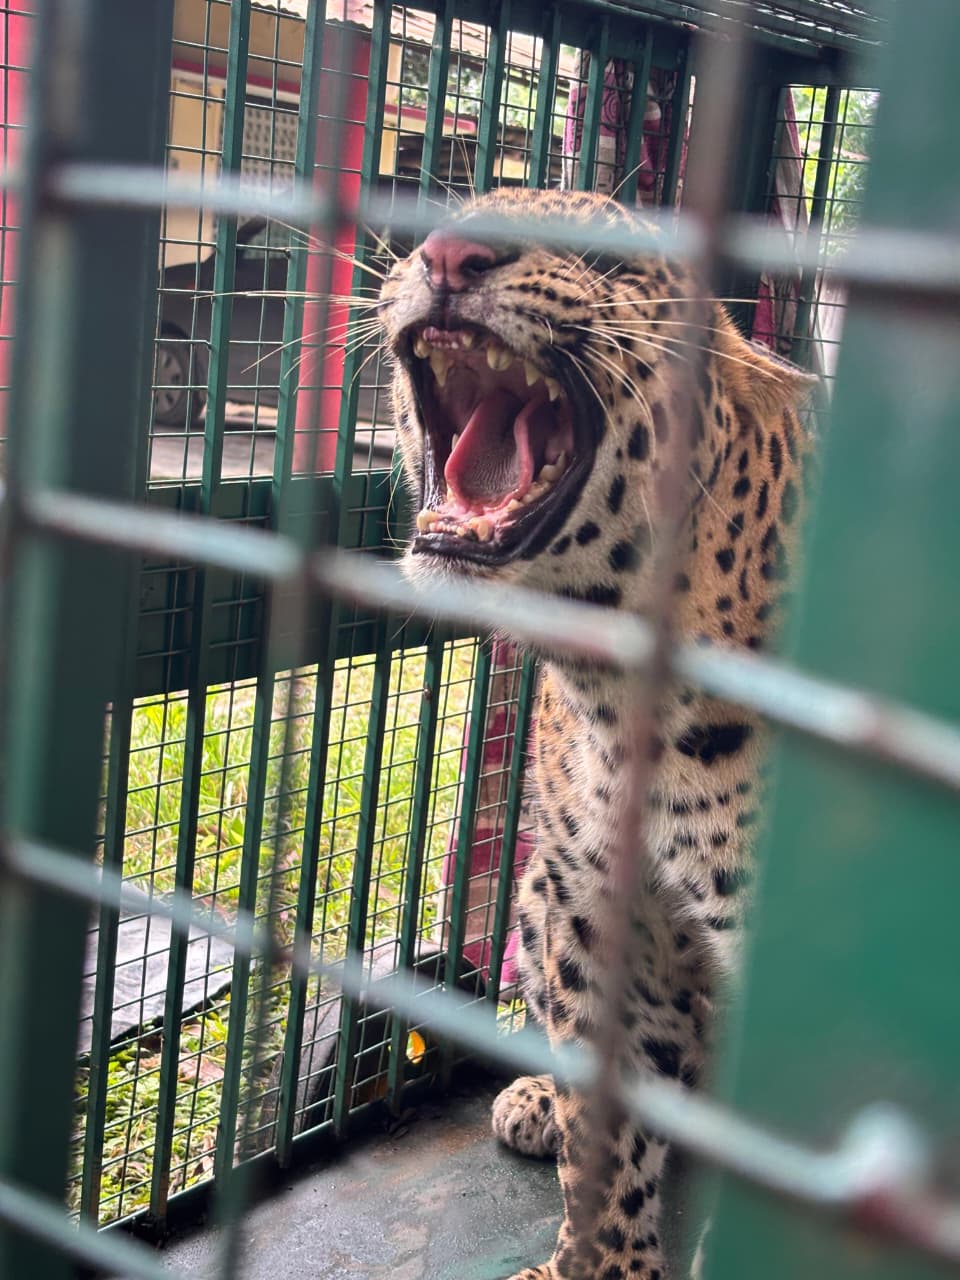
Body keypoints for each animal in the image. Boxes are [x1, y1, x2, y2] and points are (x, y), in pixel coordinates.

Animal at [378, 186, 815, 1280]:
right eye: (441, 225)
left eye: (606, 258)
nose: (447, 257)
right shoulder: (589, 905)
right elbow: (605, 1130)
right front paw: (593, 1261)